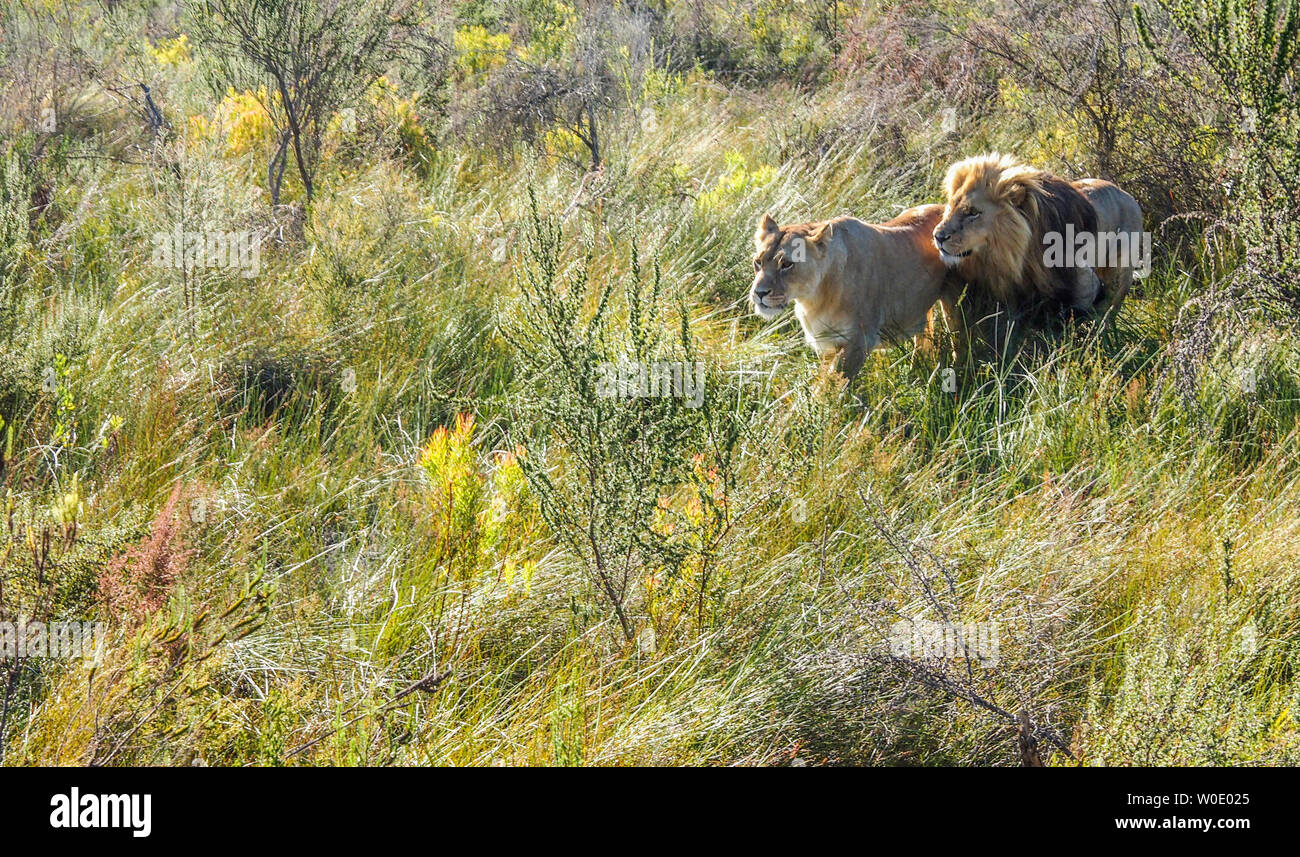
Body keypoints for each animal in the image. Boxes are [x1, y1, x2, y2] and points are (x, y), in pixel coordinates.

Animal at [750, 204, 963, 380]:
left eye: (786, 264)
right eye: (758, 262)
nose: (759, 293)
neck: (814, 298)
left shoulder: (859, 341)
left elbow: (831, 388)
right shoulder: (826, 345)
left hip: (955, 304)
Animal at [931, 153, 1144, 317]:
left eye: (973, 212)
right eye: (951, 206)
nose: (938, 236)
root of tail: (1126, 194)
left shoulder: (1081, 285)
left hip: (1118, 272)